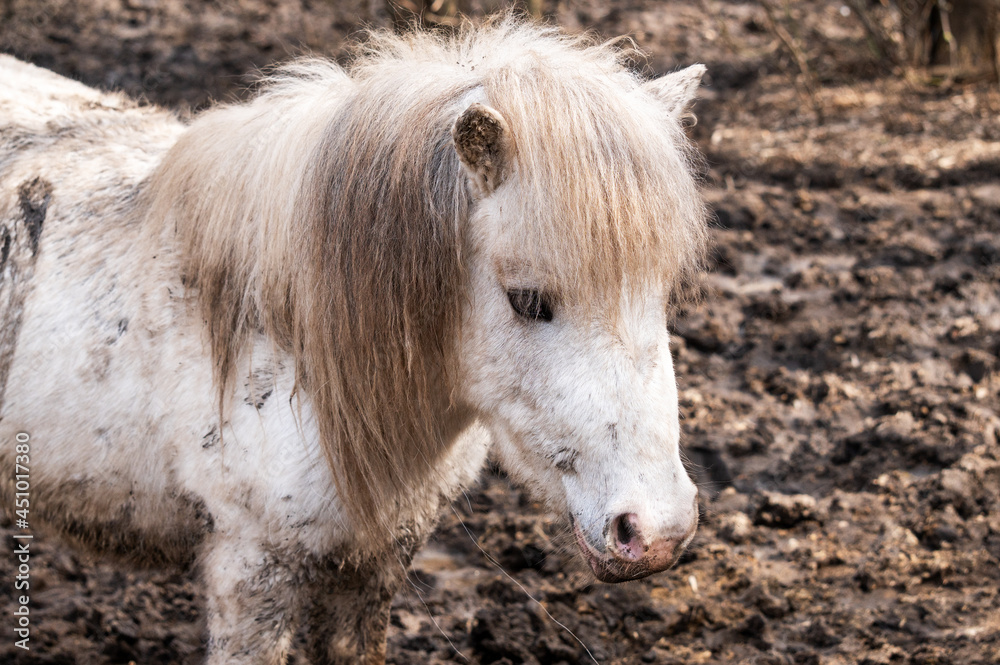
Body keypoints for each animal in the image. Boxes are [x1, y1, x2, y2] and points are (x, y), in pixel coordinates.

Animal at [0, 17, 708, 665]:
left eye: (660, 291)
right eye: (529, 300)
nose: (657, 532)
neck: (300, 344)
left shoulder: (373, 565)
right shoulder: (249, 571)